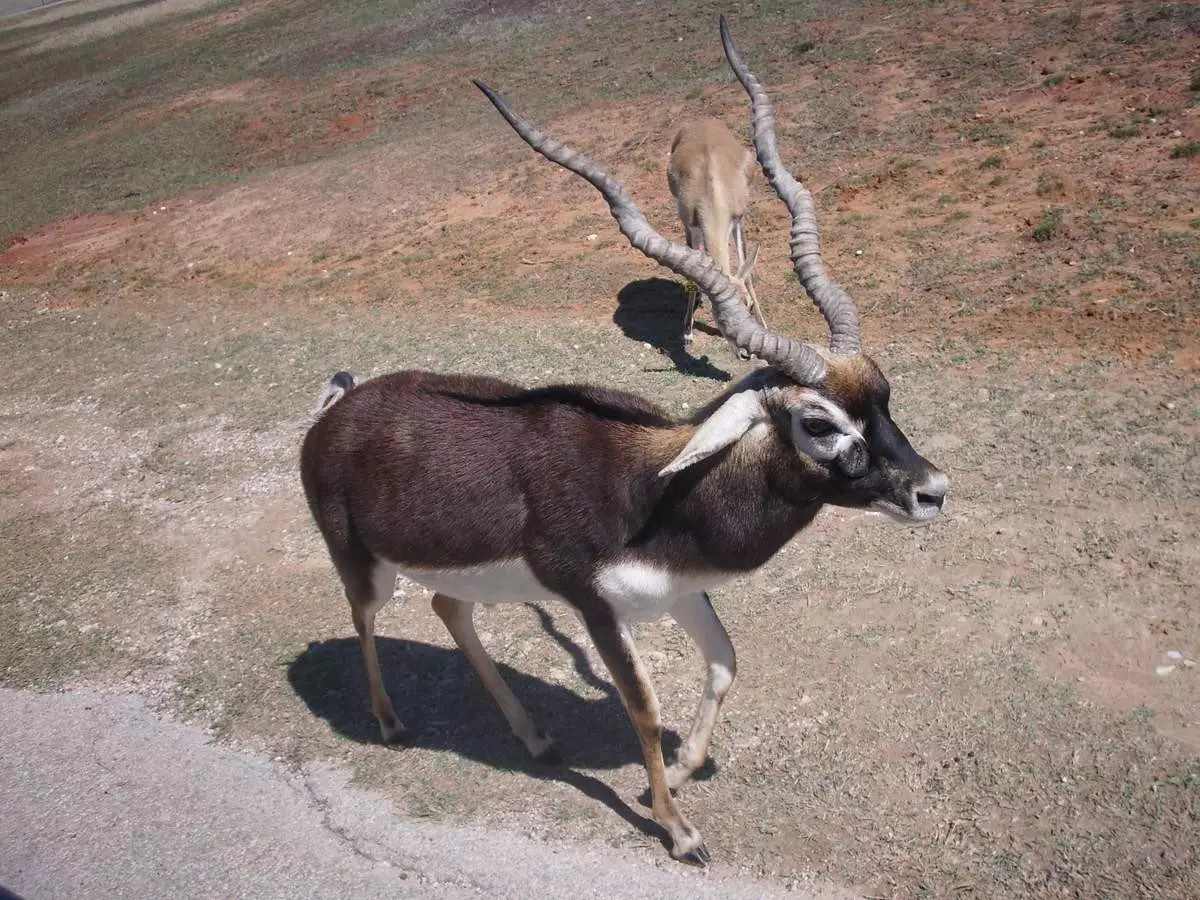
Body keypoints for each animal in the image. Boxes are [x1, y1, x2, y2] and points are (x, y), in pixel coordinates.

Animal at [667, 118, 758, 348]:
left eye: (749, 306)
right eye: (725, 319)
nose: (747, 350)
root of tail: (702, 122)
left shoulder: (738, 220)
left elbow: (746, 270)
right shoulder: (691, 227)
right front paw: (687, 333)